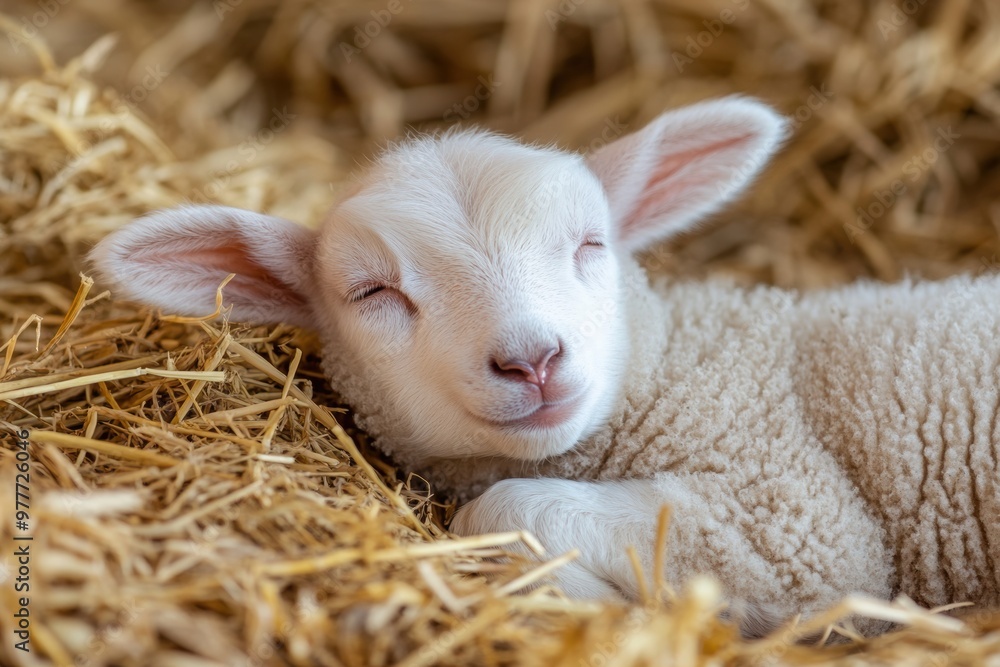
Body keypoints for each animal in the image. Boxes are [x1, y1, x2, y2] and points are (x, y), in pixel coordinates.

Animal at [90, 96, 1000, 634]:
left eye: (591, 243)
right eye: (373, 290)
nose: (532, 359)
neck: (683, 365)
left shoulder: (799, 522)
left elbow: (500, 509)